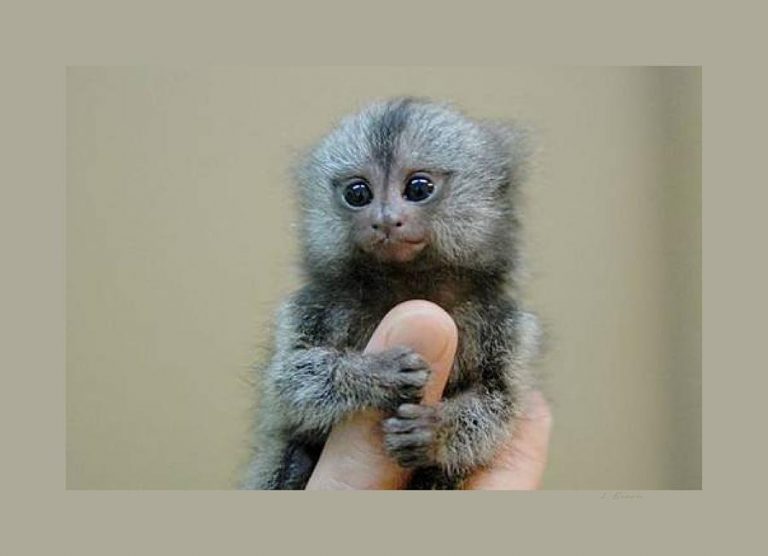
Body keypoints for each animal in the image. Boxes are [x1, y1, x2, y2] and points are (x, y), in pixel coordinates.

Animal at [241, 97, 542, 490]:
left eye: (418, 188)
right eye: (358, 193)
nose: (384, 220)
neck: (406, 282)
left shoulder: (508, 325)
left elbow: (499, 401)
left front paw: (434, 432)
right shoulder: (306, 309)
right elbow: (290, 380)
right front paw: (374, 373)